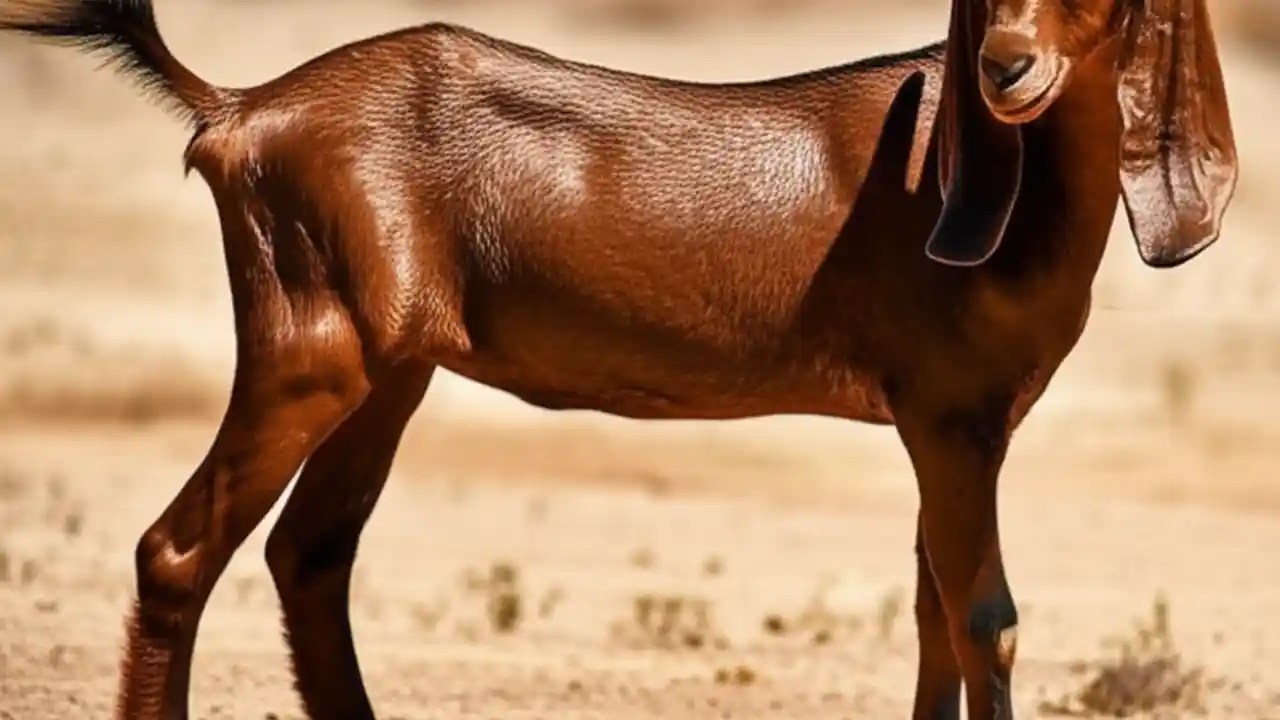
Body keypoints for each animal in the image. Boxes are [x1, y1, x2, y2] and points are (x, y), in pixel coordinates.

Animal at [0, 0, 1237, 718]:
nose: (1007, 64)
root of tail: (240, 107)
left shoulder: (948, 435)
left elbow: (935, 608)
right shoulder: (950, 424)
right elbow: (984, 619)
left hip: (388, 379)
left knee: (309, 554)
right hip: (309, 360)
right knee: (177, 553)